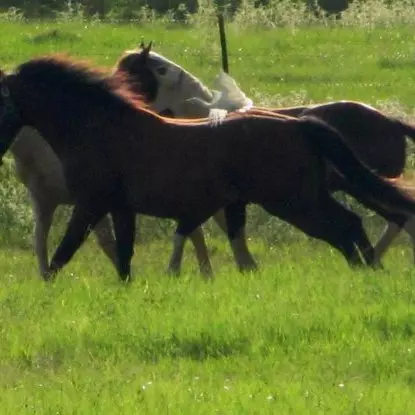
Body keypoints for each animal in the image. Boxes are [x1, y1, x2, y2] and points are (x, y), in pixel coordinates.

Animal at [0, 56, 415, 282]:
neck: (99, 127)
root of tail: (302, 125)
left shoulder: (89, 204)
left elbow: (62, 255)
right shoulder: (119, 208)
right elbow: (124, 259)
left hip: (295, 202)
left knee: (348, 226)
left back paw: (367, 272)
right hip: (305, 198)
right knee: (354, 226)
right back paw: (369, 272)